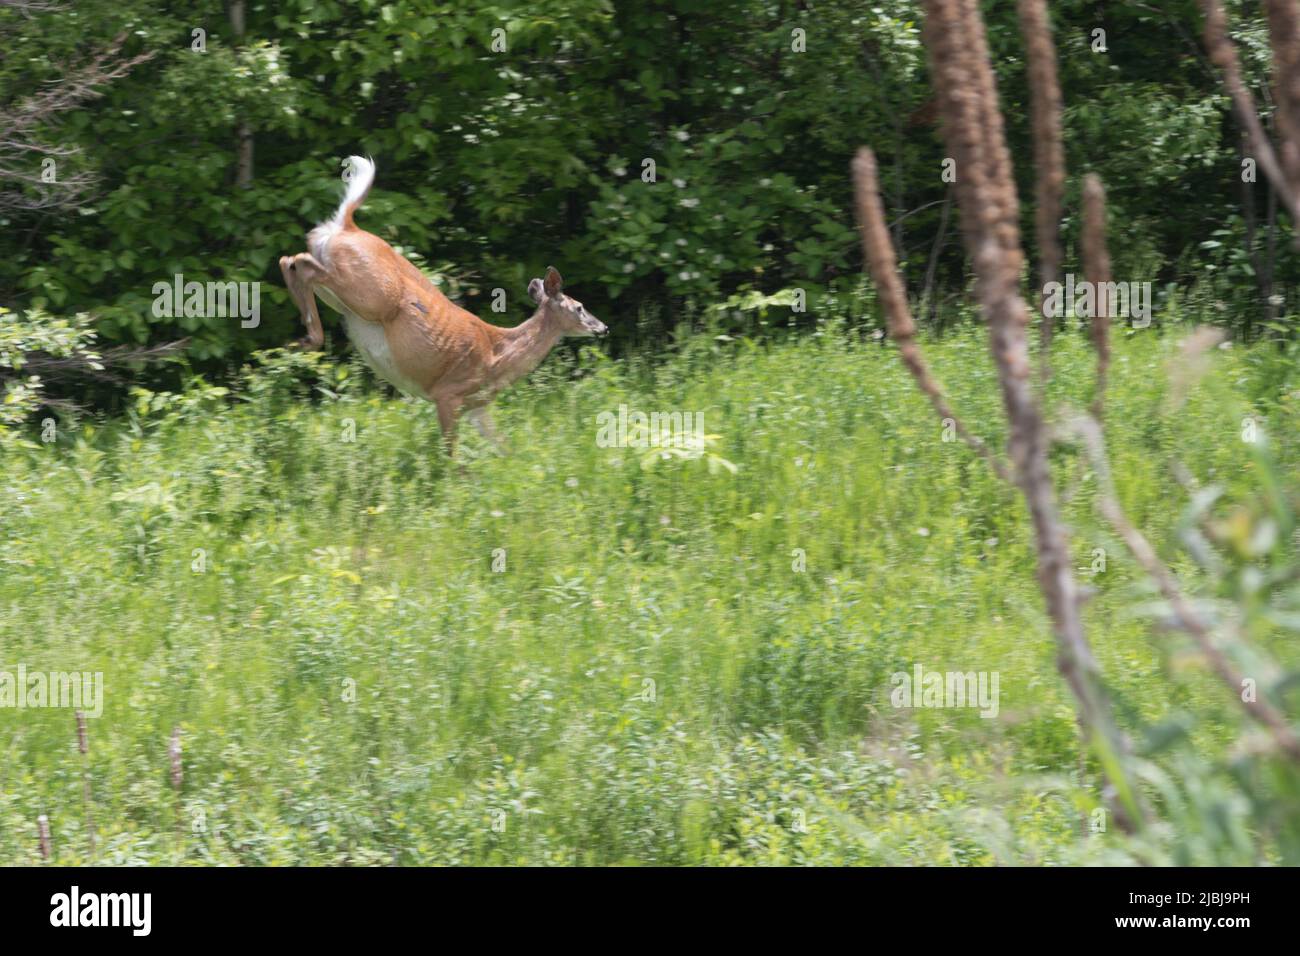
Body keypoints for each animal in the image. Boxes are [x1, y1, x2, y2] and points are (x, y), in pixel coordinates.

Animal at [278, 156, 607, 457]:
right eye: (579, 307)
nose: (603, 327)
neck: (497, 356)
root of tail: (348, 225)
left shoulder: (477, 406)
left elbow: (504, 447)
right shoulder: (448, 393)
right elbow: (452, 455)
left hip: (343, 297)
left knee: (291, 260)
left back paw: (300, 341)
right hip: (370, 296)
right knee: (300, 264)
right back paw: (308, 338)